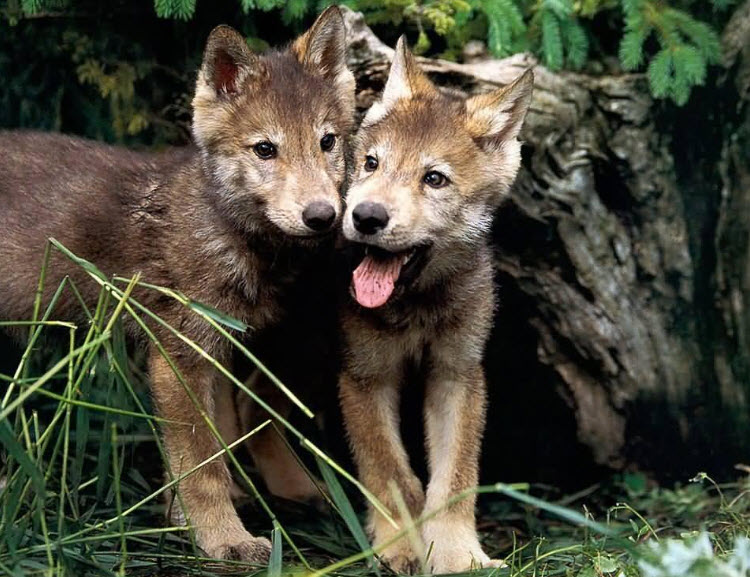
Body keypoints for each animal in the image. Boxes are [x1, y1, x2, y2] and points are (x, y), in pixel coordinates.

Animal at [0, 7, 354, 563]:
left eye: (327, 141)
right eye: (265, 150)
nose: (322, 216)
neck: (230, 238)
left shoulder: (227, 345)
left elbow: (222, 440)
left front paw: (200, 515)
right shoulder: (178, 356)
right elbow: (201, 465)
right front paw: (223, 538)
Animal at [337, 38, 533, 572]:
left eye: (435, 179)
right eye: (371, 164)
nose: (366, 216)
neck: (417, 308)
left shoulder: (458, 374)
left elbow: (454, 481)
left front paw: (458, 555)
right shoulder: (365, 376)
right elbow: (391, 473)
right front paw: (399, 547)